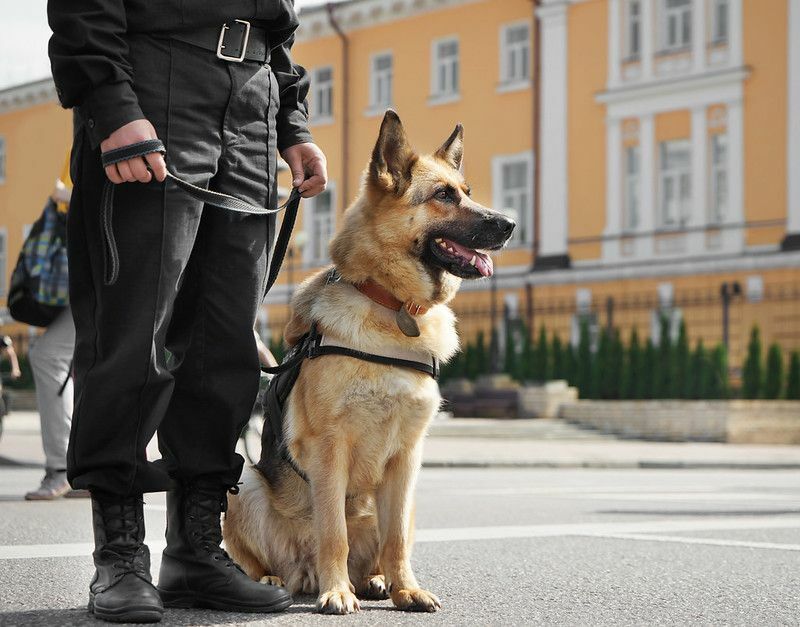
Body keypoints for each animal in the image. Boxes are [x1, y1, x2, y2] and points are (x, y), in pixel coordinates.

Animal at [222, 110, 516, 616]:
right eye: (443, 196)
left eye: (467, 191)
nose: (511, 223)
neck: (391, 305)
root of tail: (301, 573)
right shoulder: (329, 449)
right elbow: (333, 531)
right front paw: (336, 591)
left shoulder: (407, 459)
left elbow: (395, 539)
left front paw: (406, 589)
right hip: (242, 484)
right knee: (261, 557)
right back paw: (278, 579)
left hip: (411, 499)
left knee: (382, 546)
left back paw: (377, 580)